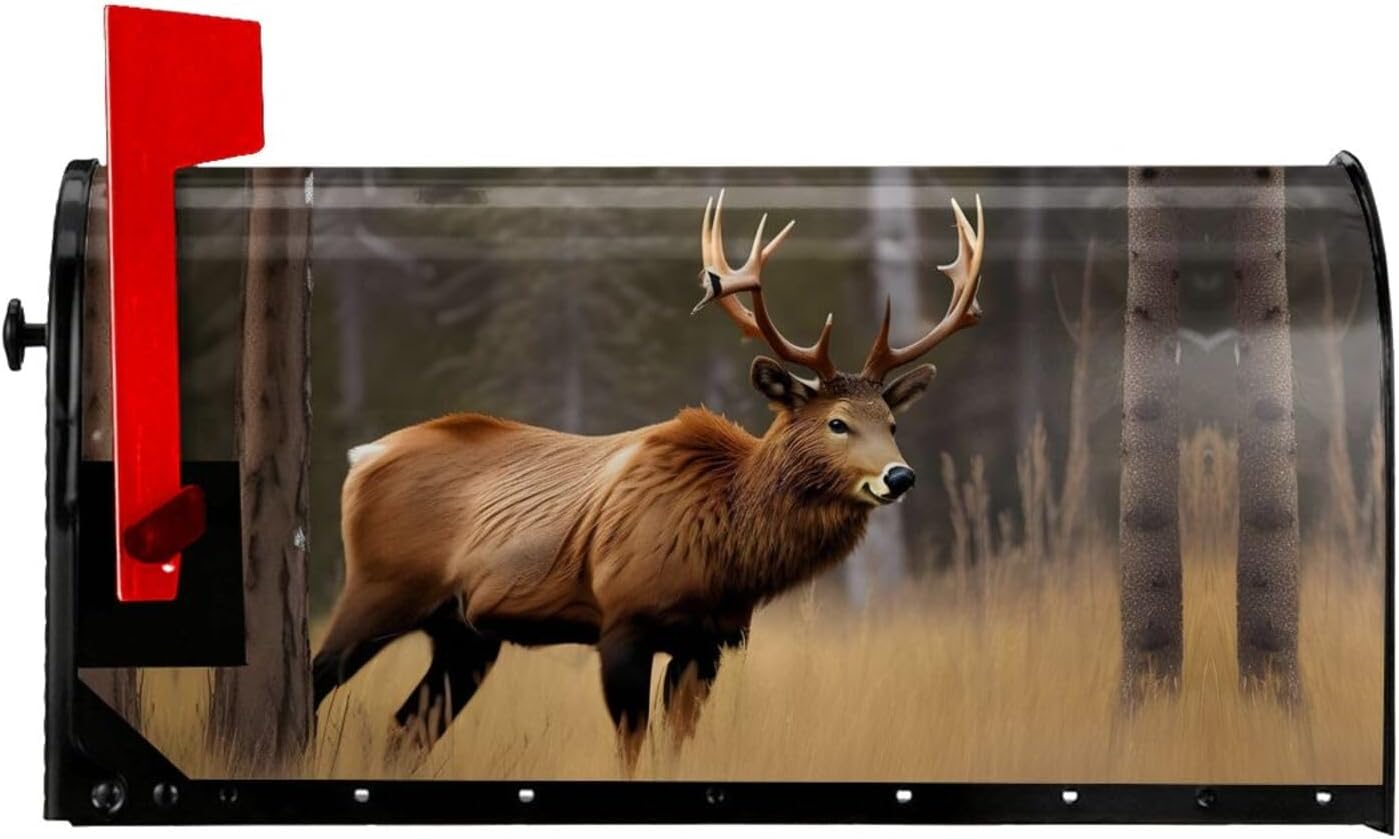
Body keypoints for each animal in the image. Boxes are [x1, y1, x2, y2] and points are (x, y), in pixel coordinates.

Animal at [311, 191, 986, 769]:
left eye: (892, 422)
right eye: (837, 422)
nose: (900, 475)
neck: (728, 549)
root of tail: (362, 457)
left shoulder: (707, 642)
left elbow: (674, 750)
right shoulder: (623, 620)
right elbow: (632, 750)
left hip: (464, 634)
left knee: (404, 731)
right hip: (380, 586)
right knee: (319, 676)